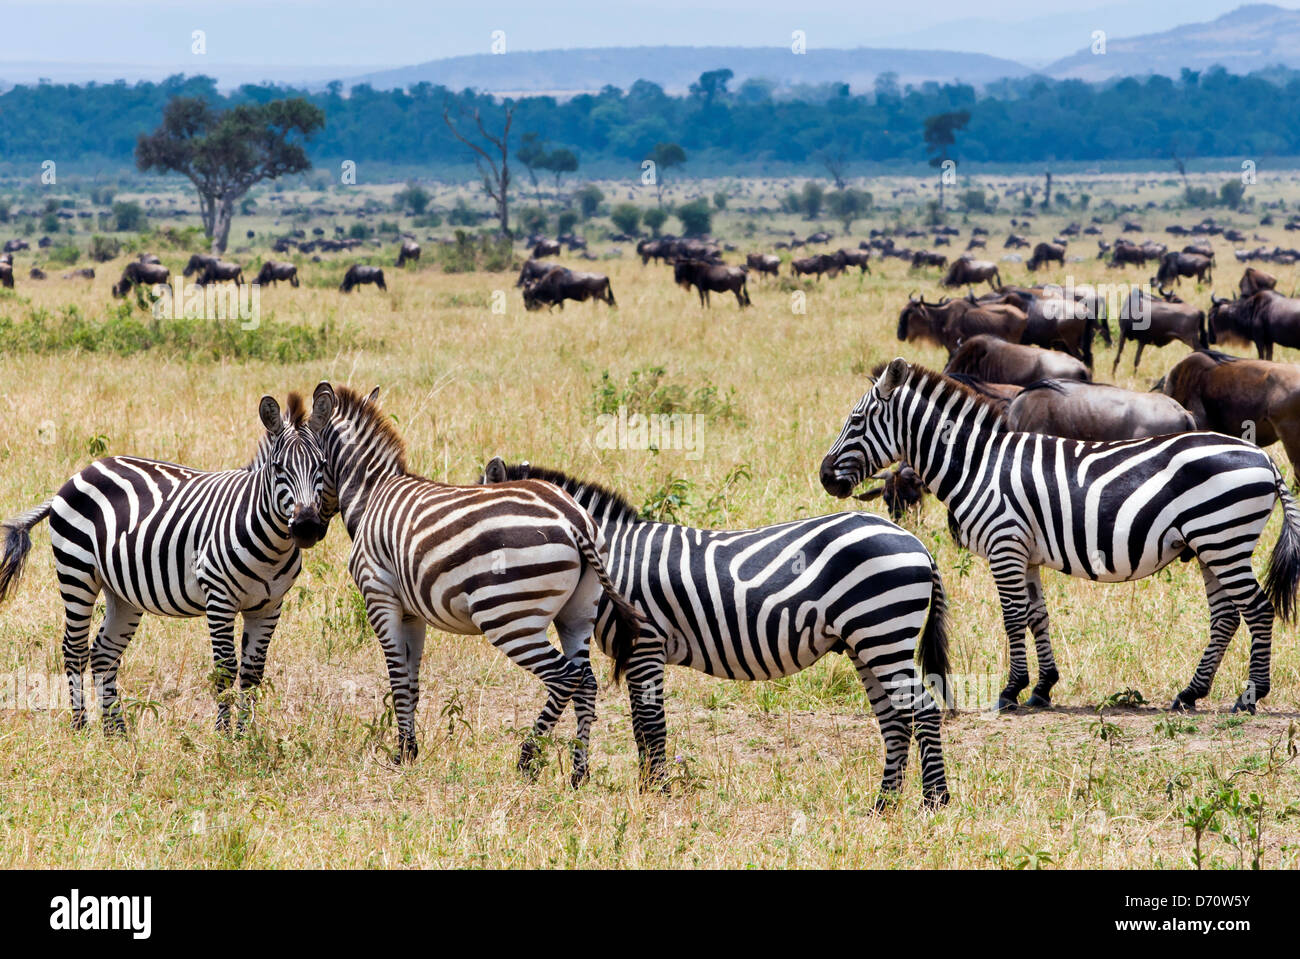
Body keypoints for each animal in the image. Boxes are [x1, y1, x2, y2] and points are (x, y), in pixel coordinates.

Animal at [0, 384, 335, 733]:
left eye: (322, 465)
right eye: (278, 468)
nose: (307, 527)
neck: (272, 548)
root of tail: (83, 471)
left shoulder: (269, 606)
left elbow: (252, 674)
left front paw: (245, 735)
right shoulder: (219, 598)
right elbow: (226, 669)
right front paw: (224, 735)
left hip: (122, 592)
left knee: (104, 653)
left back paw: (116, 732)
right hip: (76, 572)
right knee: (74, 649)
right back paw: (81, 727)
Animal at [318, 386, 641, 786]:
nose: (306, 526)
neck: (372, 496)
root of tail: (575, 521)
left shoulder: (380, 596)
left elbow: (396, 677)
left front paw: (402, 753)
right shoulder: (413, 612)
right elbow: (410, 679)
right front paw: (411, 749)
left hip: (509, 617)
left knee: (565, 677)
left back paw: (527, 759)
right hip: (577, 614)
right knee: (587, 681)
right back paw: (579, 773)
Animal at [480, 458, 952, 808]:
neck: (611, 557)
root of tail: (916, 544)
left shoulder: (647, 644)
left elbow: (650, 723)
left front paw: (657, 793)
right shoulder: (637, 653)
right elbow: (638, 724)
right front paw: (648, 788)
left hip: (883, 631)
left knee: (923, 710)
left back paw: (934, 802)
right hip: (865, 642)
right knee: (894, 718)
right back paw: (883, 805)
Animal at [820, 358, 1300, 714]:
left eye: (856, 420)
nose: (824, 477)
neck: (978, 466)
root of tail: (1263, 459)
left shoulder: (1005, 544)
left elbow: (1013, 617)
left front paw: (1010, 691)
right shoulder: (1025, 552)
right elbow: (1037, 616)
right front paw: (1043, 688)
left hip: (1223, 539)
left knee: (1257, 610)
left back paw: (1250, 697)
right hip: (1210, 545)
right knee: (1226, 616)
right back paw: (1190, 694)